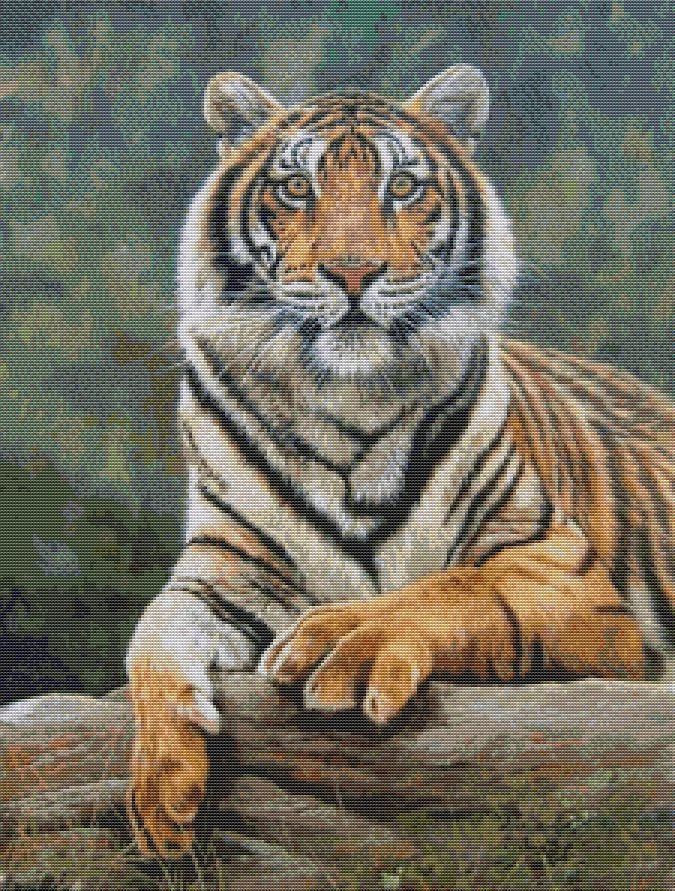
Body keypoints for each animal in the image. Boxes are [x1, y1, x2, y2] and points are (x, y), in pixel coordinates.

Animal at [125, 65, 675, 858]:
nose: (352, 272)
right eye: (296, 189)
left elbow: (456, 589)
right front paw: (161, 790)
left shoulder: (567, 575)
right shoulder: (226, 571)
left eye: (405, 187)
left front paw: (347, 640)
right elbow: (151, 638)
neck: (348, 403)